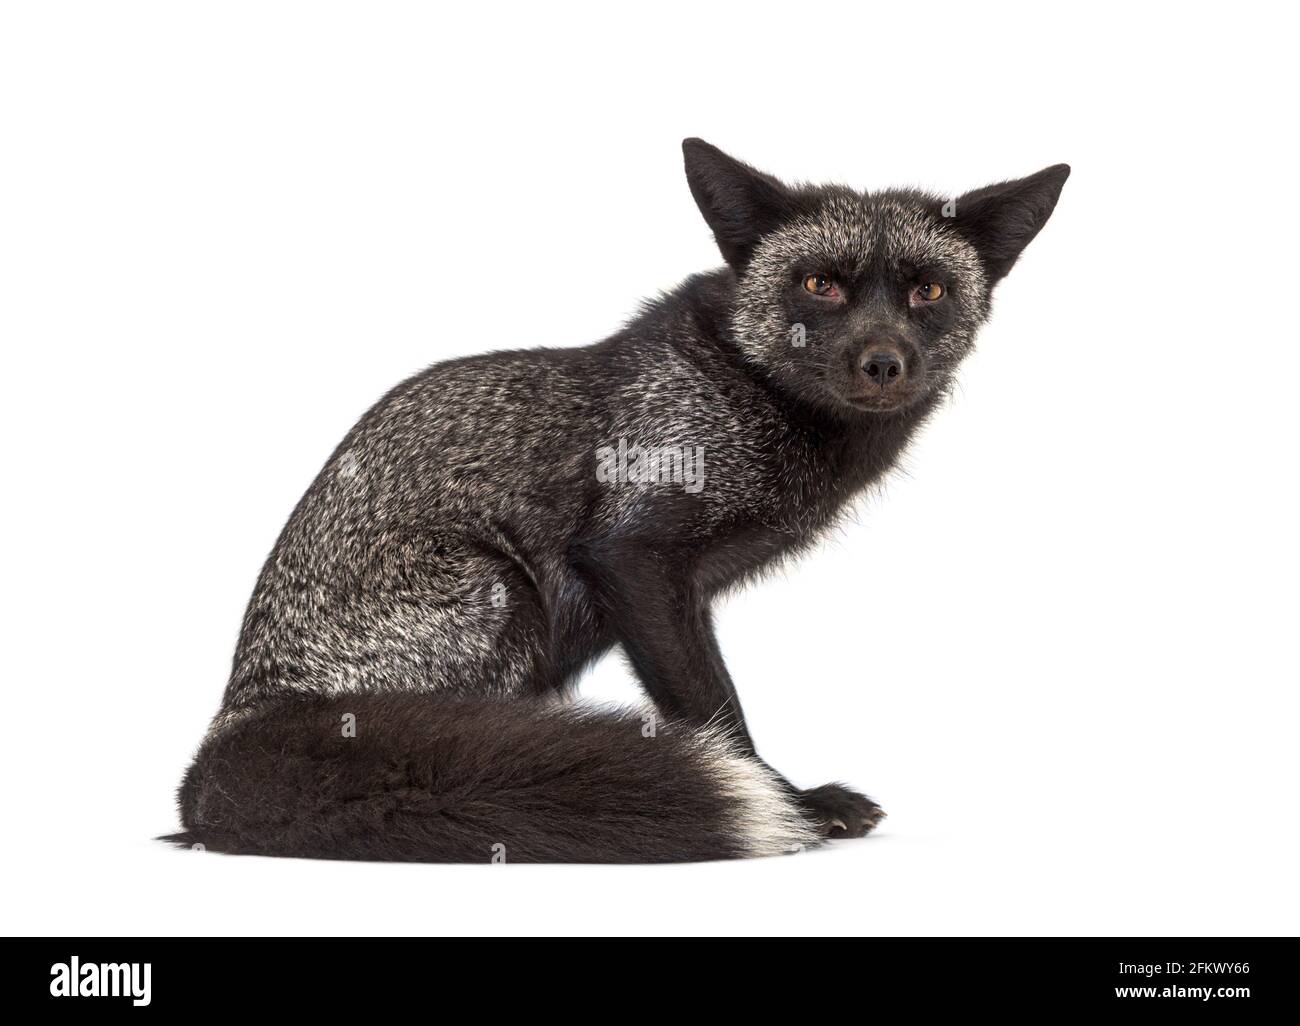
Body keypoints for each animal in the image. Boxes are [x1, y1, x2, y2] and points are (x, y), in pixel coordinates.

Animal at [167, 140, 1068, 862]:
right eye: (820, 285)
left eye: (928, 292)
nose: (883, 363)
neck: (744, 386)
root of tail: (228, 737)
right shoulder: (633, 557)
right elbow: (715, 710)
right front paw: (791, 804)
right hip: (504, 593)